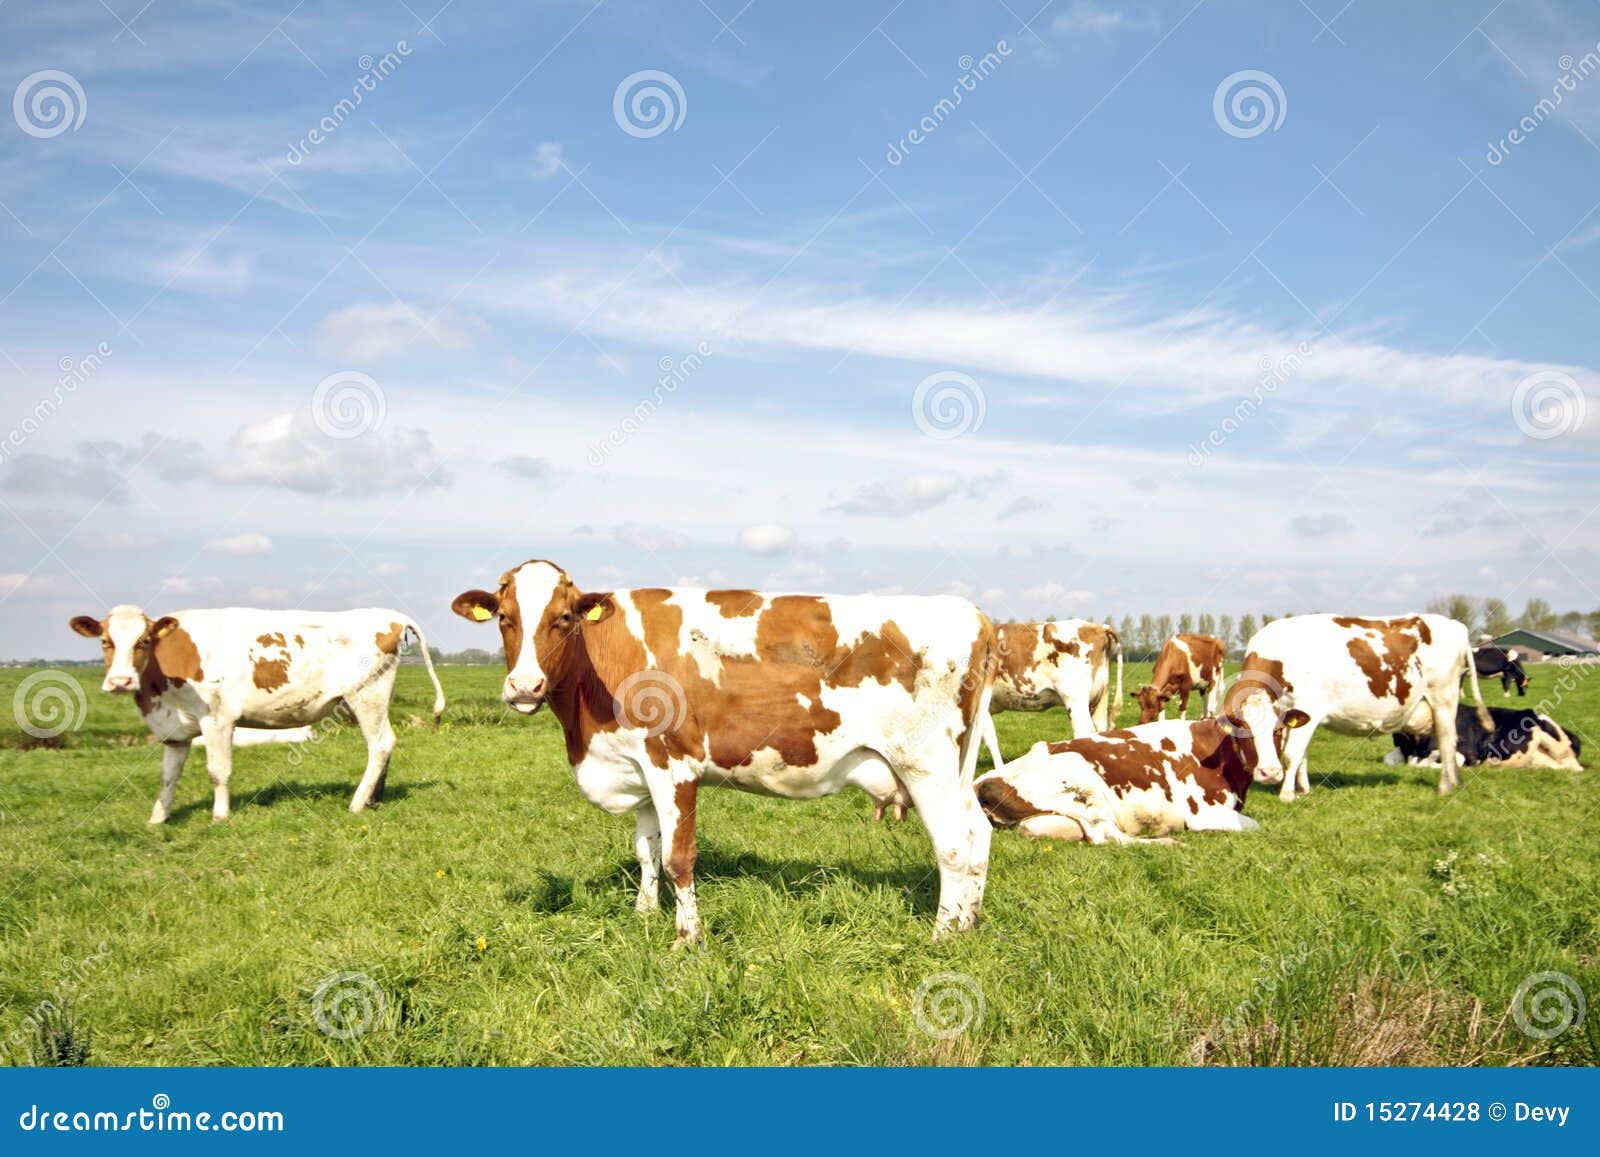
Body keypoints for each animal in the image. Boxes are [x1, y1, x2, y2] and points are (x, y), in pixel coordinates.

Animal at [69, 605, 444, 823]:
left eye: (144, 640)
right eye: (105, 642)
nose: (119, 681)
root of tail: (388, 614)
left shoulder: (217, 719)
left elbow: (217, 772)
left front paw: (220, 816)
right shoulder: (175, 731)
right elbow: (168, 776)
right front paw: (158, 819)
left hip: (367, 695)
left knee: (380, 744)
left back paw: (356, 804)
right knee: (381, 747)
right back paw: (372, 801)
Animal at [450, 560, 998, 945]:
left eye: (563, 618)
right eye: (504, 618)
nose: (524, 686)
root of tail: (974, 613)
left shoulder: (673, 764)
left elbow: (678, 857)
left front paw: (686, 938)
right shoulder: (638, 766)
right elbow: (646, 849)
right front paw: (643, 914)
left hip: (924, 761)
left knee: (952, 844)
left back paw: (941, 935)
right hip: (953, 768)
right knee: (978, 829)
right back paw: (968, 922)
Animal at [974, 712, 1309, 842]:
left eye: (1279, 729)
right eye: (1243, 729)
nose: (1270, 771)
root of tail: (983, 784)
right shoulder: (1203, 813)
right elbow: (1256, 826)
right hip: (1084, 783)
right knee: (1110, 837)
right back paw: (1168, 841)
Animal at [1223, 613, 1492, 801]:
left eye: (1275, 731)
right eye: (1242, 733)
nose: (1268, 773)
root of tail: (1455, 625)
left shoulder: (1309, 708)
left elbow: (1291, 754)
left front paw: (1287, 794)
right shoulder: (1296, 712)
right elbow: (1301, 756)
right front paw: (1303, 789)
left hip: (1443, 699)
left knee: (1447, 742)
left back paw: (1445, 787)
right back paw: (1455, 784)